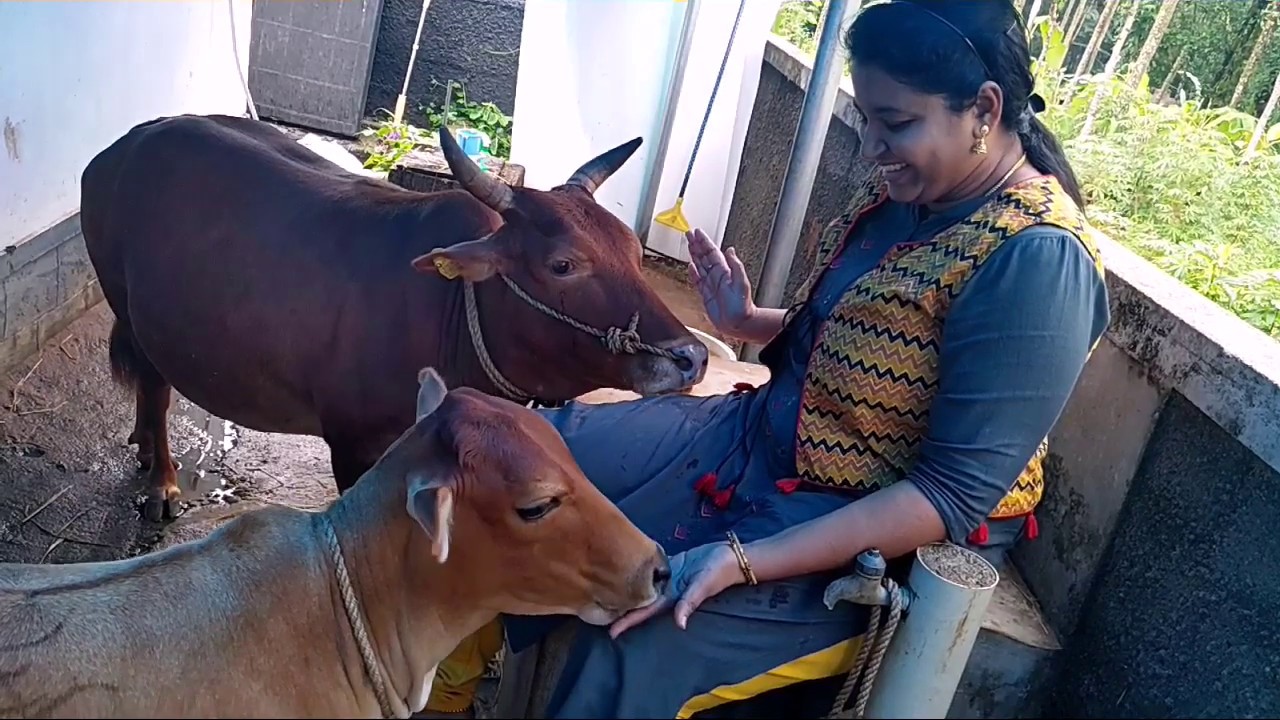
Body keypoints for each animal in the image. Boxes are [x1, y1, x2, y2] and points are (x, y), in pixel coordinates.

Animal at [79, 113, 710, 522]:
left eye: (632, 250)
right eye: (563, 264)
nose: (692, 356)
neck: (453, 313)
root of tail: (124, 145)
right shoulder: (354, 445)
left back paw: (142, 444)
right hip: (127, 303)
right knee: (156, 386)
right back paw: (161, 482)